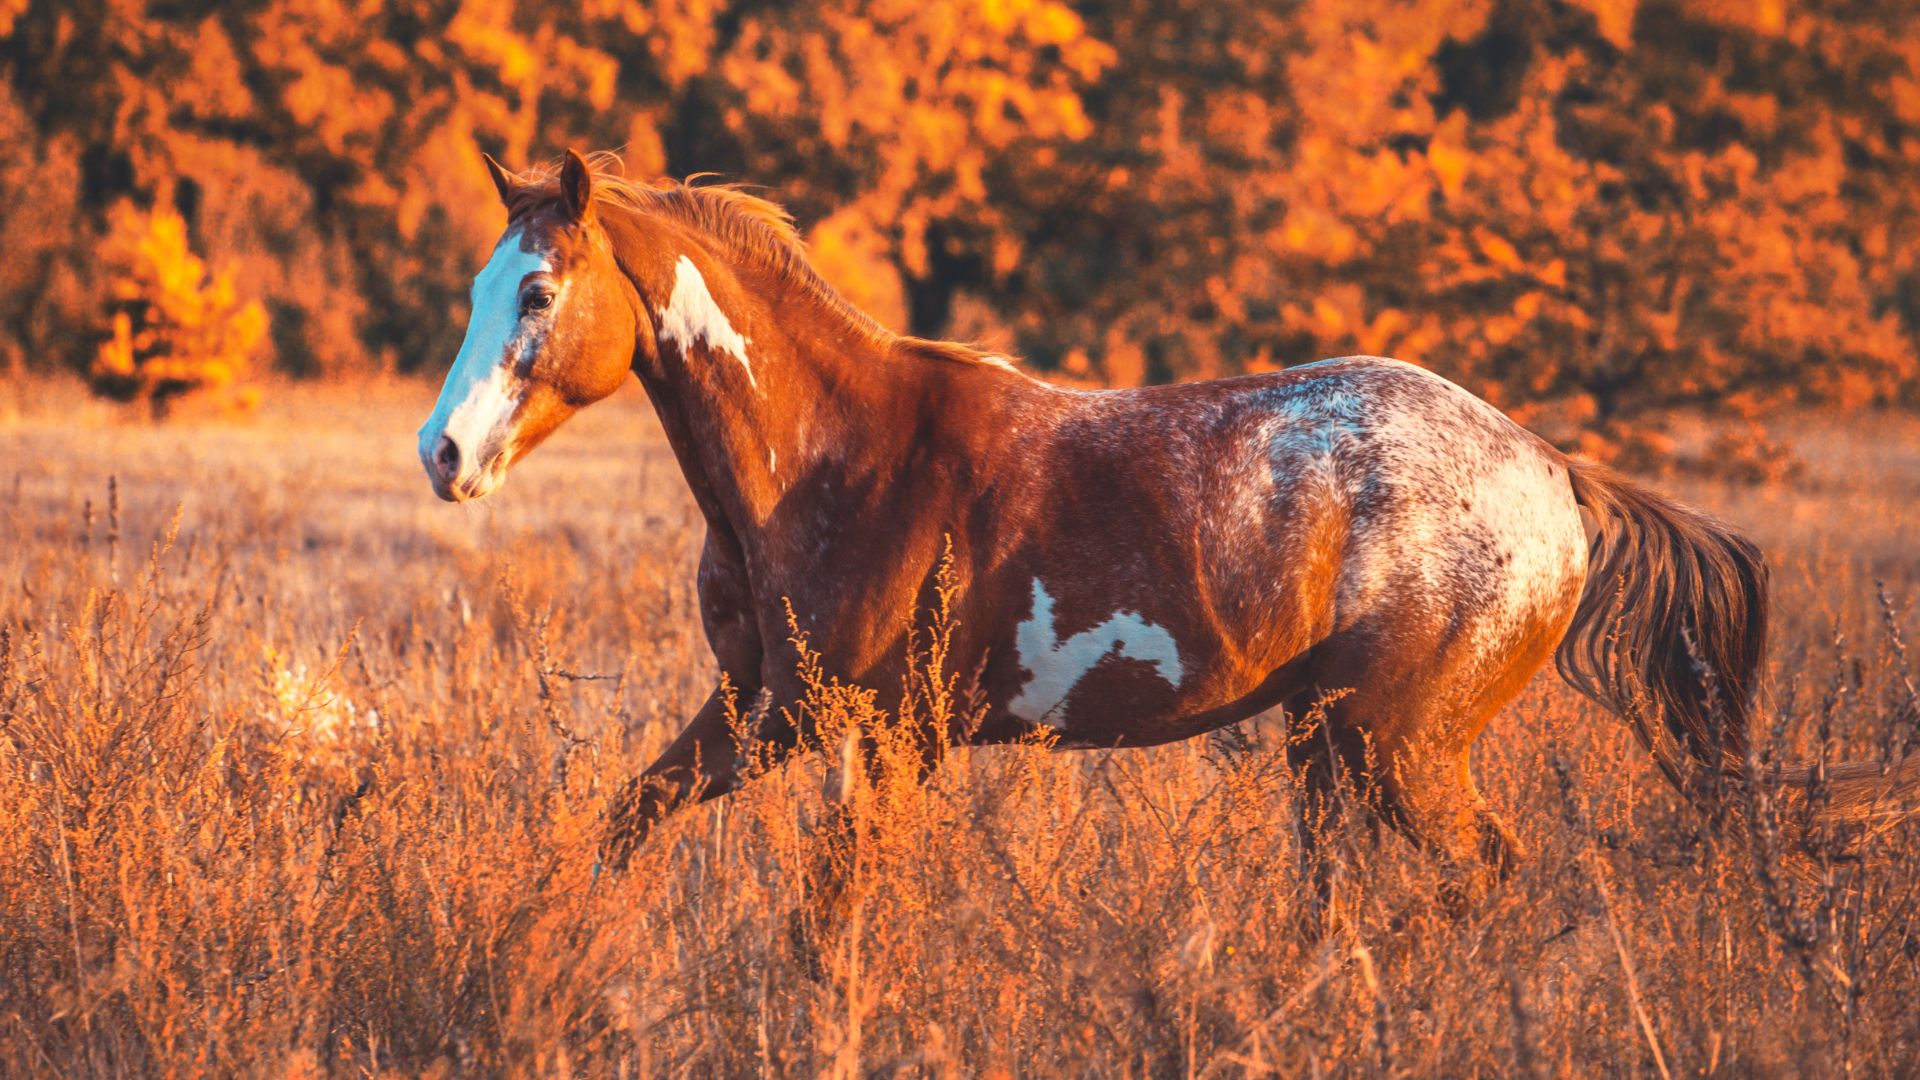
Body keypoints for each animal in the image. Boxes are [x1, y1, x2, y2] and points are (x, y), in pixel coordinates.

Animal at [416, 150, 1907, 896]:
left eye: (539, 292)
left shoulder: (882, 744)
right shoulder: (761, 717)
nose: (444, 455)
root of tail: (1554, 477)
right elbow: (613, 836)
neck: (837, 461)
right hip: (1329, 745)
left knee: (1490, 882)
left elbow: (834, 924)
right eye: (486, 282)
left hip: (1401, 748)